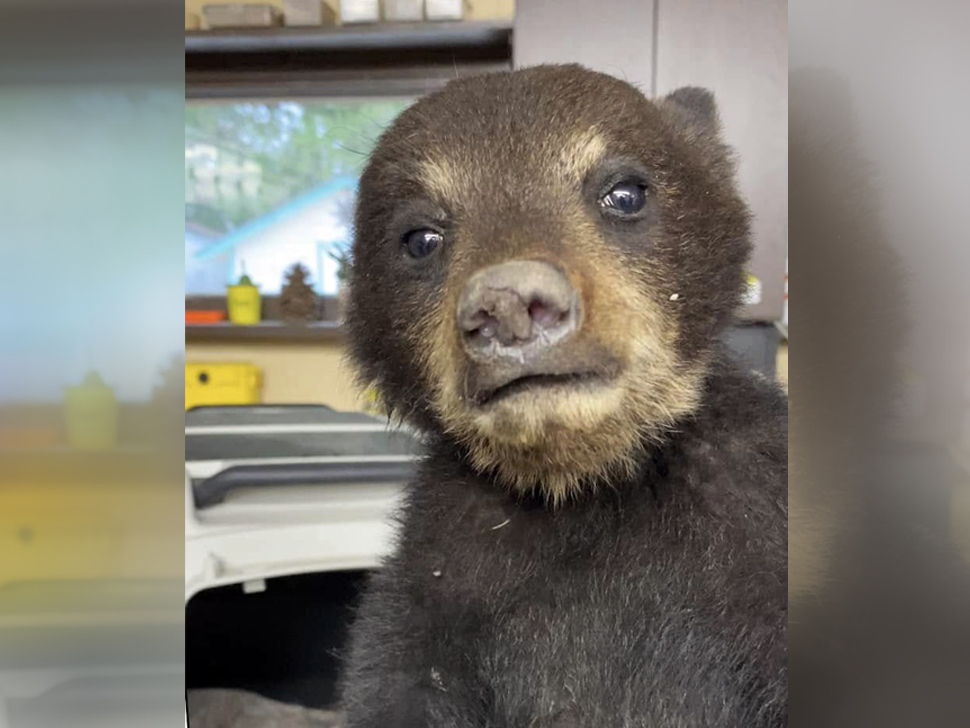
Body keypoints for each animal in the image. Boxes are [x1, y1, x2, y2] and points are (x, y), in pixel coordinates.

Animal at [339, 64, 788, 727]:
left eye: (625, 193)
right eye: (419, 237)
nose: (509, 306)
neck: (584, 481)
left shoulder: (755, 521)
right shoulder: (433, 585)